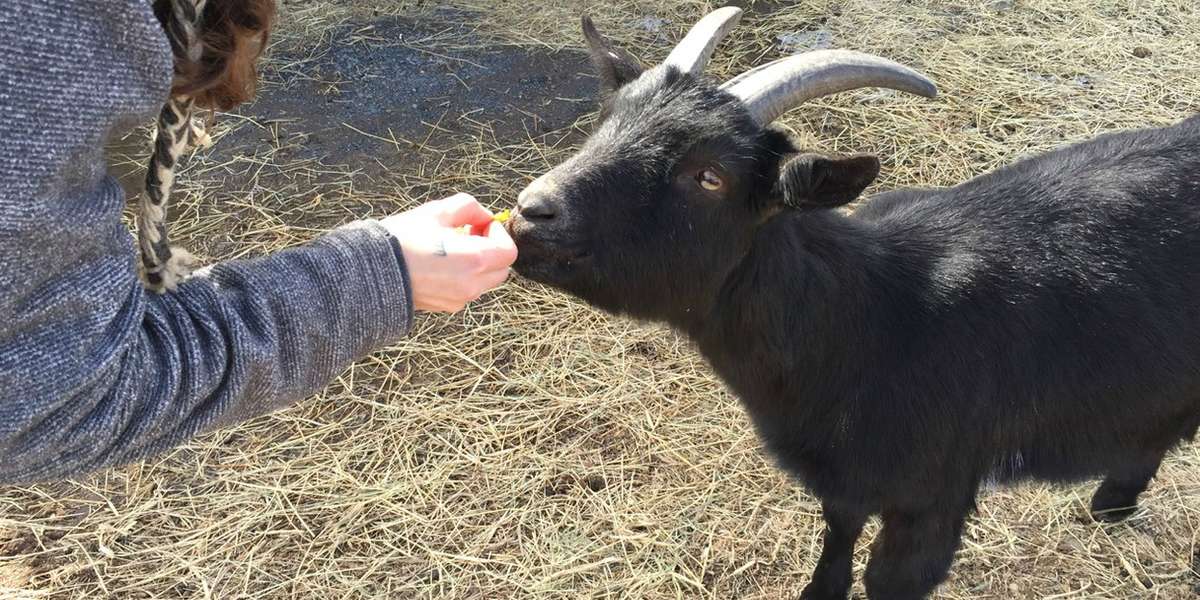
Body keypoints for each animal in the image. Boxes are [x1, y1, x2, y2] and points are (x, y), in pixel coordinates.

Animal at [506, 7, 1200, 599]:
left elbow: (887, 577)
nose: (533, 212)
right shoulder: (841, 480)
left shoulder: (932, 496)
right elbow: (836, 541)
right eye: (606, 121)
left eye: (710, 177)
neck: (869, 320)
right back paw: (1110, 507)